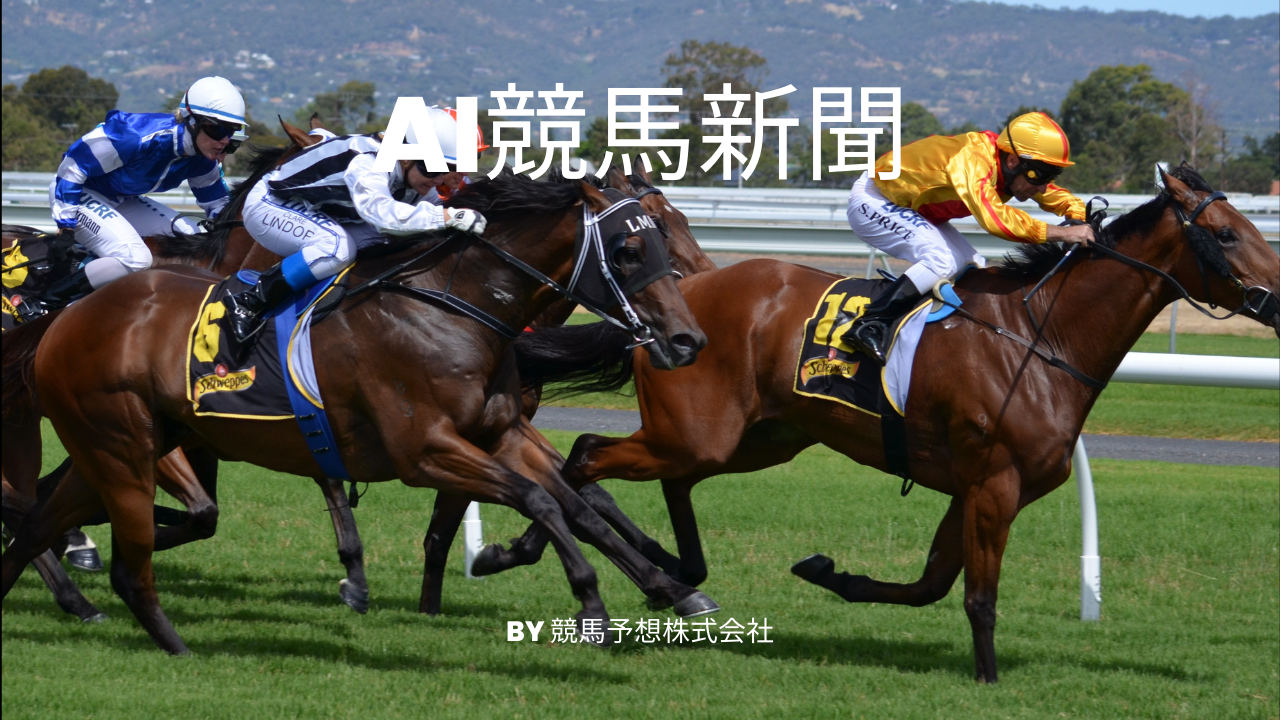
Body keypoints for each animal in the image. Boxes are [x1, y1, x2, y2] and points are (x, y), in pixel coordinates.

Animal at [1, 169, 717, 654]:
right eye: (630, 250)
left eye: (668, 232)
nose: (689, 339)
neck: (450, 308)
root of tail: (63, 317)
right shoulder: (424, 450)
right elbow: (540, 500)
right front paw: (590, 602)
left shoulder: (502, 432)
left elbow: (578, 503)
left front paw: (670, 586)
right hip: (119, 441)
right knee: (58, 516)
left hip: (113, 443)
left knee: (38, 517)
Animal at [461, 165, 1279, 682]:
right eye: (1227, 235)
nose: (1275, 296)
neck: (1039, 338)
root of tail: (670, 304)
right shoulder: (996, 483)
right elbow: (977, 596)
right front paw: (987, 679)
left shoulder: (972, 486)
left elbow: (930, 585)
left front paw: (831, 573)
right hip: (696, 429)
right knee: (585, 456)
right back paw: (538, 555)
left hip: (754, 438)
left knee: (668, 480)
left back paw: (676, 576)